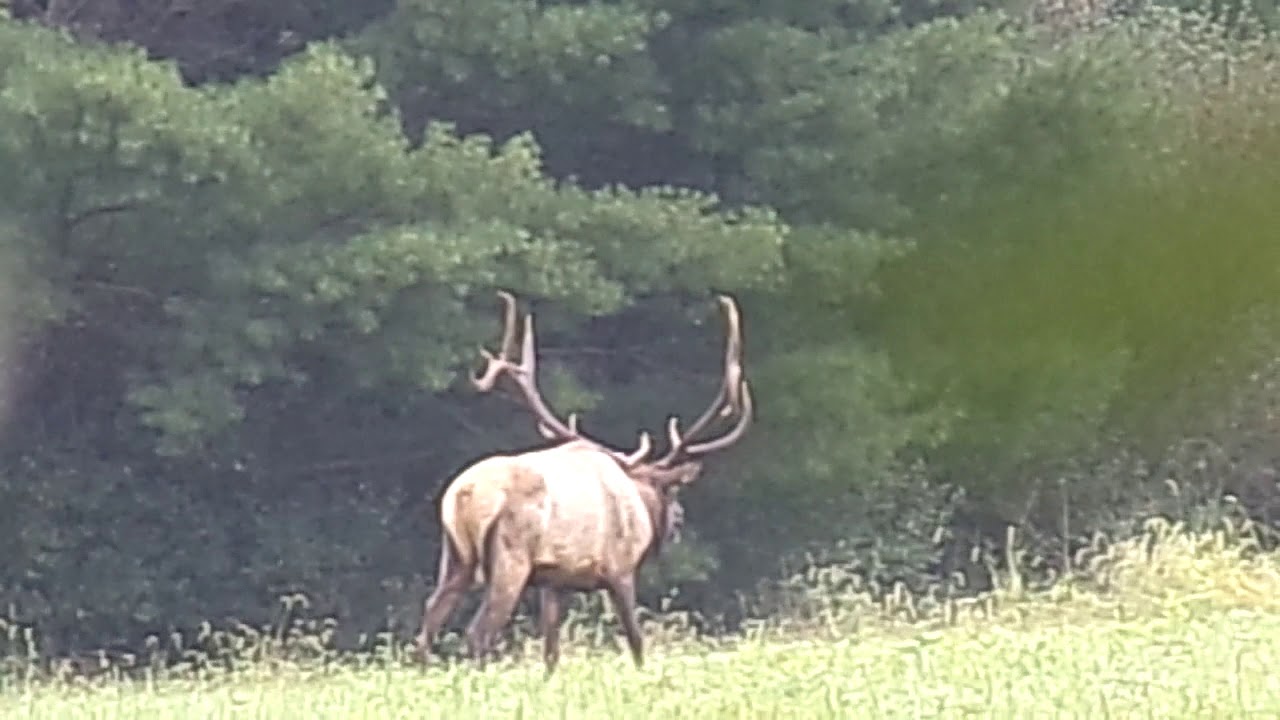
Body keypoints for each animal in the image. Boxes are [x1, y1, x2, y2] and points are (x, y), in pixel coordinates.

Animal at [413, 290, 753, 675]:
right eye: (673, 492)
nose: (678, 521)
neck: (639, 496)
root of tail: (463, 495)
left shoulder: (554, 580)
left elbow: (551, 651)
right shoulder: (620, 567)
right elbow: (636, 641)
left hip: (455, 556)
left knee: (428, 624)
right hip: (510, 557)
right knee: (478, 633)